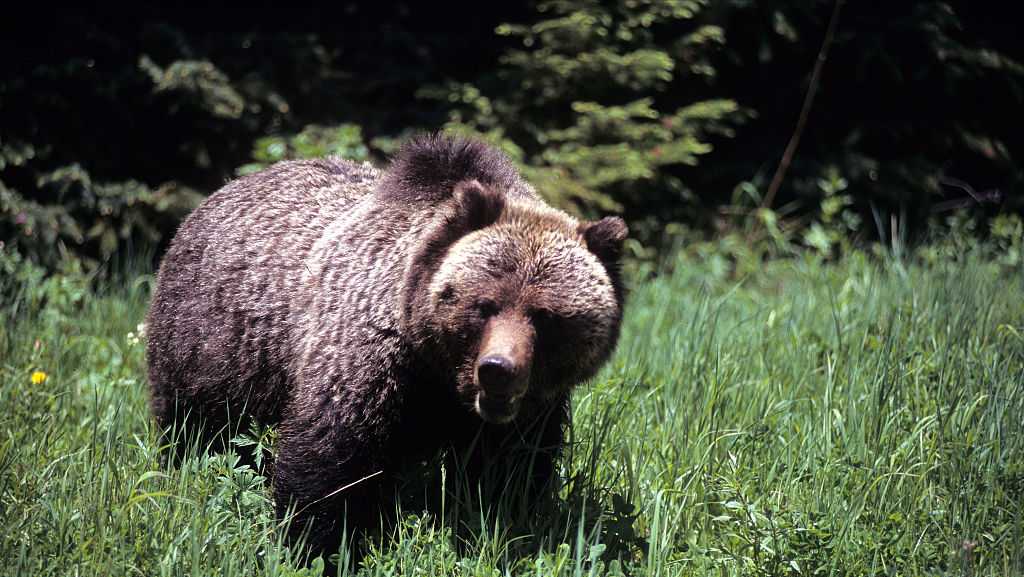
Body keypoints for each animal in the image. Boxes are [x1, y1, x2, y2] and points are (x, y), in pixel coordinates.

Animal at [145, 133, 627, 560]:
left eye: (545, 315)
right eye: (484, 304)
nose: (498, 369)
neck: (439, 371)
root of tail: (219, 192)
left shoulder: (529, 412)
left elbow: (512, 473)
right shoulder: (370, 360)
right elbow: (330, 460)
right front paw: (317, 545)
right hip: (209, 349)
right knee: (195, 429)